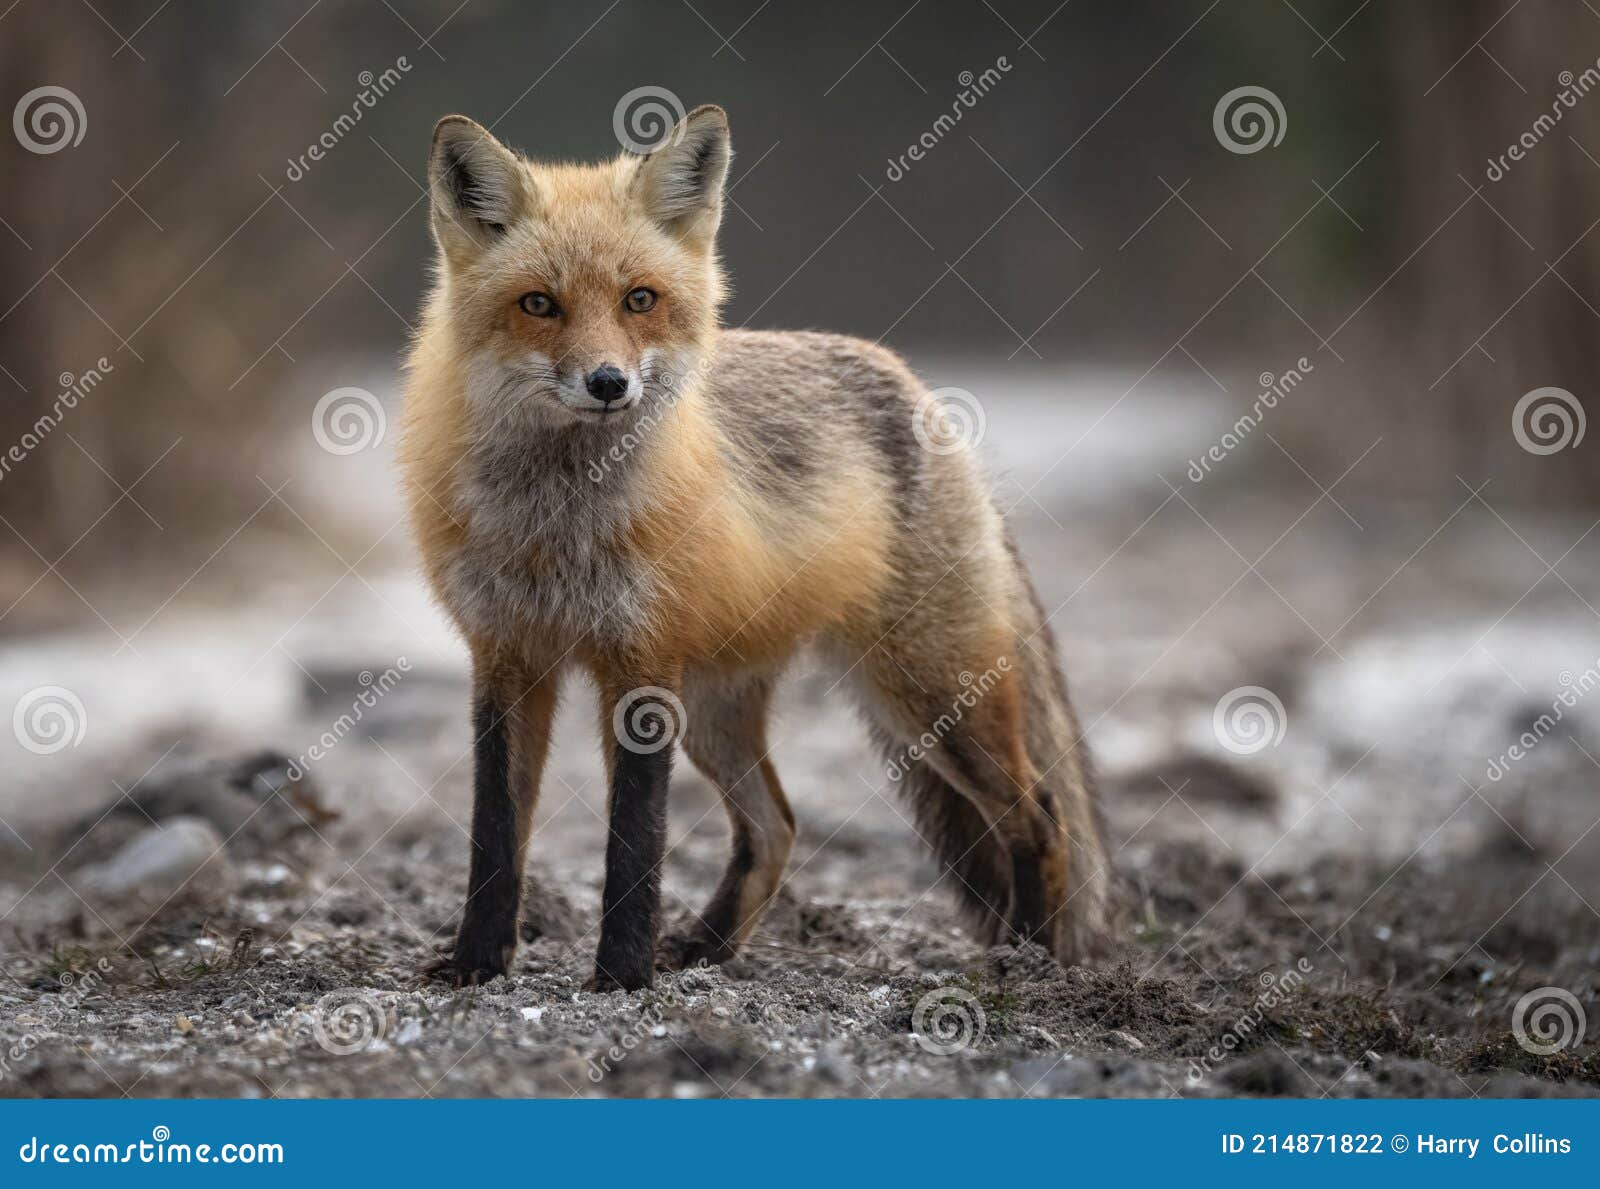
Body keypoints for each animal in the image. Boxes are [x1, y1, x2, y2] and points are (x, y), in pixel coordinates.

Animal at [399, 104, 1112, 991]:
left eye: (640, 300)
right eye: (539, 303)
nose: (608, 383)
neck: (557, 519)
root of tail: (915, 387)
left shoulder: (641, 665)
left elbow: (634, 842)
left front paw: (621, 976)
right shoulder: (506, 657)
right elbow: (495, 833)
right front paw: (477, 961)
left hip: (932, 697)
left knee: (1039, 815)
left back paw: (1032, 962)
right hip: (721, 714)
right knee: (777, 826)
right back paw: (706, 947)